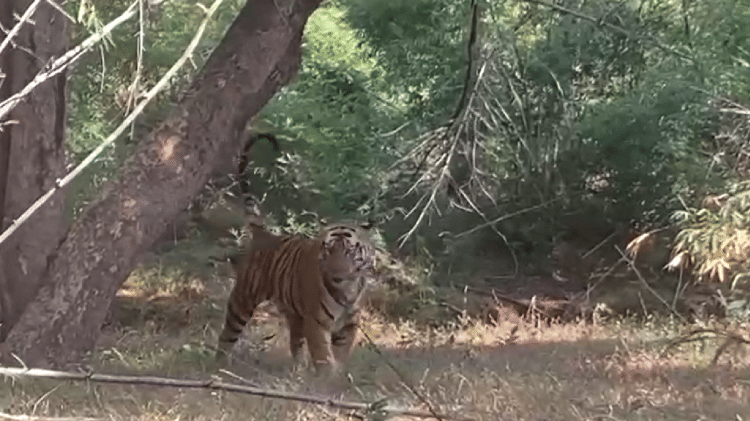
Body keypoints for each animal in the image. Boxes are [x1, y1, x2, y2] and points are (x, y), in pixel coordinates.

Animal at [216, 217, 375, 373]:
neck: (347, 289)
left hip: (295, 316)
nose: (337, 277)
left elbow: (341, 355)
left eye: (349, 251)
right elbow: (323, 357)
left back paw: (299, 371)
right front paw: (328, 377)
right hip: (243, 301)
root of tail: (263, 233)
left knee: (296, 344)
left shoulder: (349, 323)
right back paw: (220, 365)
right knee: (227, 336)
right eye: (329, 250)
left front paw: (339, 374)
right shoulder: (317, 322)